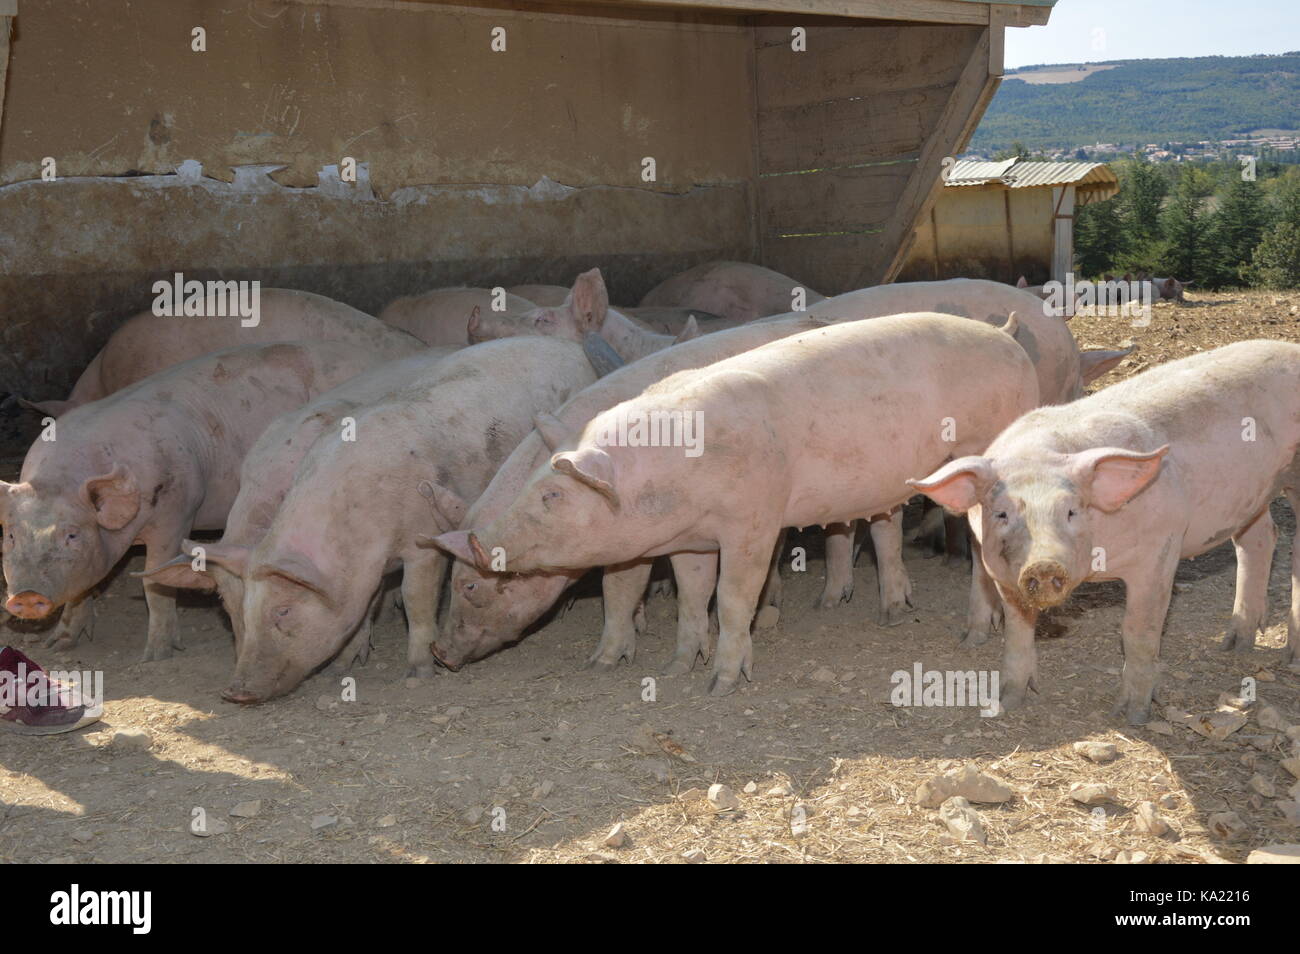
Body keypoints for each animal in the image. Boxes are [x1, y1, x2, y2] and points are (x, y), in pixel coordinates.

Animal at [1, 341, 391, 660]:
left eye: (72, 535)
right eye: (10, 537)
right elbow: (81, 589)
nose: (26, 597)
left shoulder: (176, 513)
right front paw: (59, 644)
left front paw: (155, 656)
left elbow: (152, 585)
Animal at [435, 313, 1040, 694]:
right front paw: (674, 667)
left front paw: (720, 684)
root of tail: (1007, 337)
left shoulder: (754, 521)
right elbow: (688, 596)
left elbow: (727, 598)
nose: (482, 544)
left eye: (553, 493)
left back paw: (970, 636)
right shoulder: (690, 540)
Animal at [908, 340, 1300, 724]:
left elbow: (1138, 631)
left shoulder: (1159, 550)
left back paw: (1289, 658)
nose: (1043, 565)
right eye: (1002, 513)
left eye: (1071, 511)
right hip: (1253, 497)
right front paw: (1008, 701)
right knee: (1259, 538)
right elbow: (1017, 631)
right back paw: (1235, 644)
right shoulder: (1000, 571)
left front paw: (1132, 716)